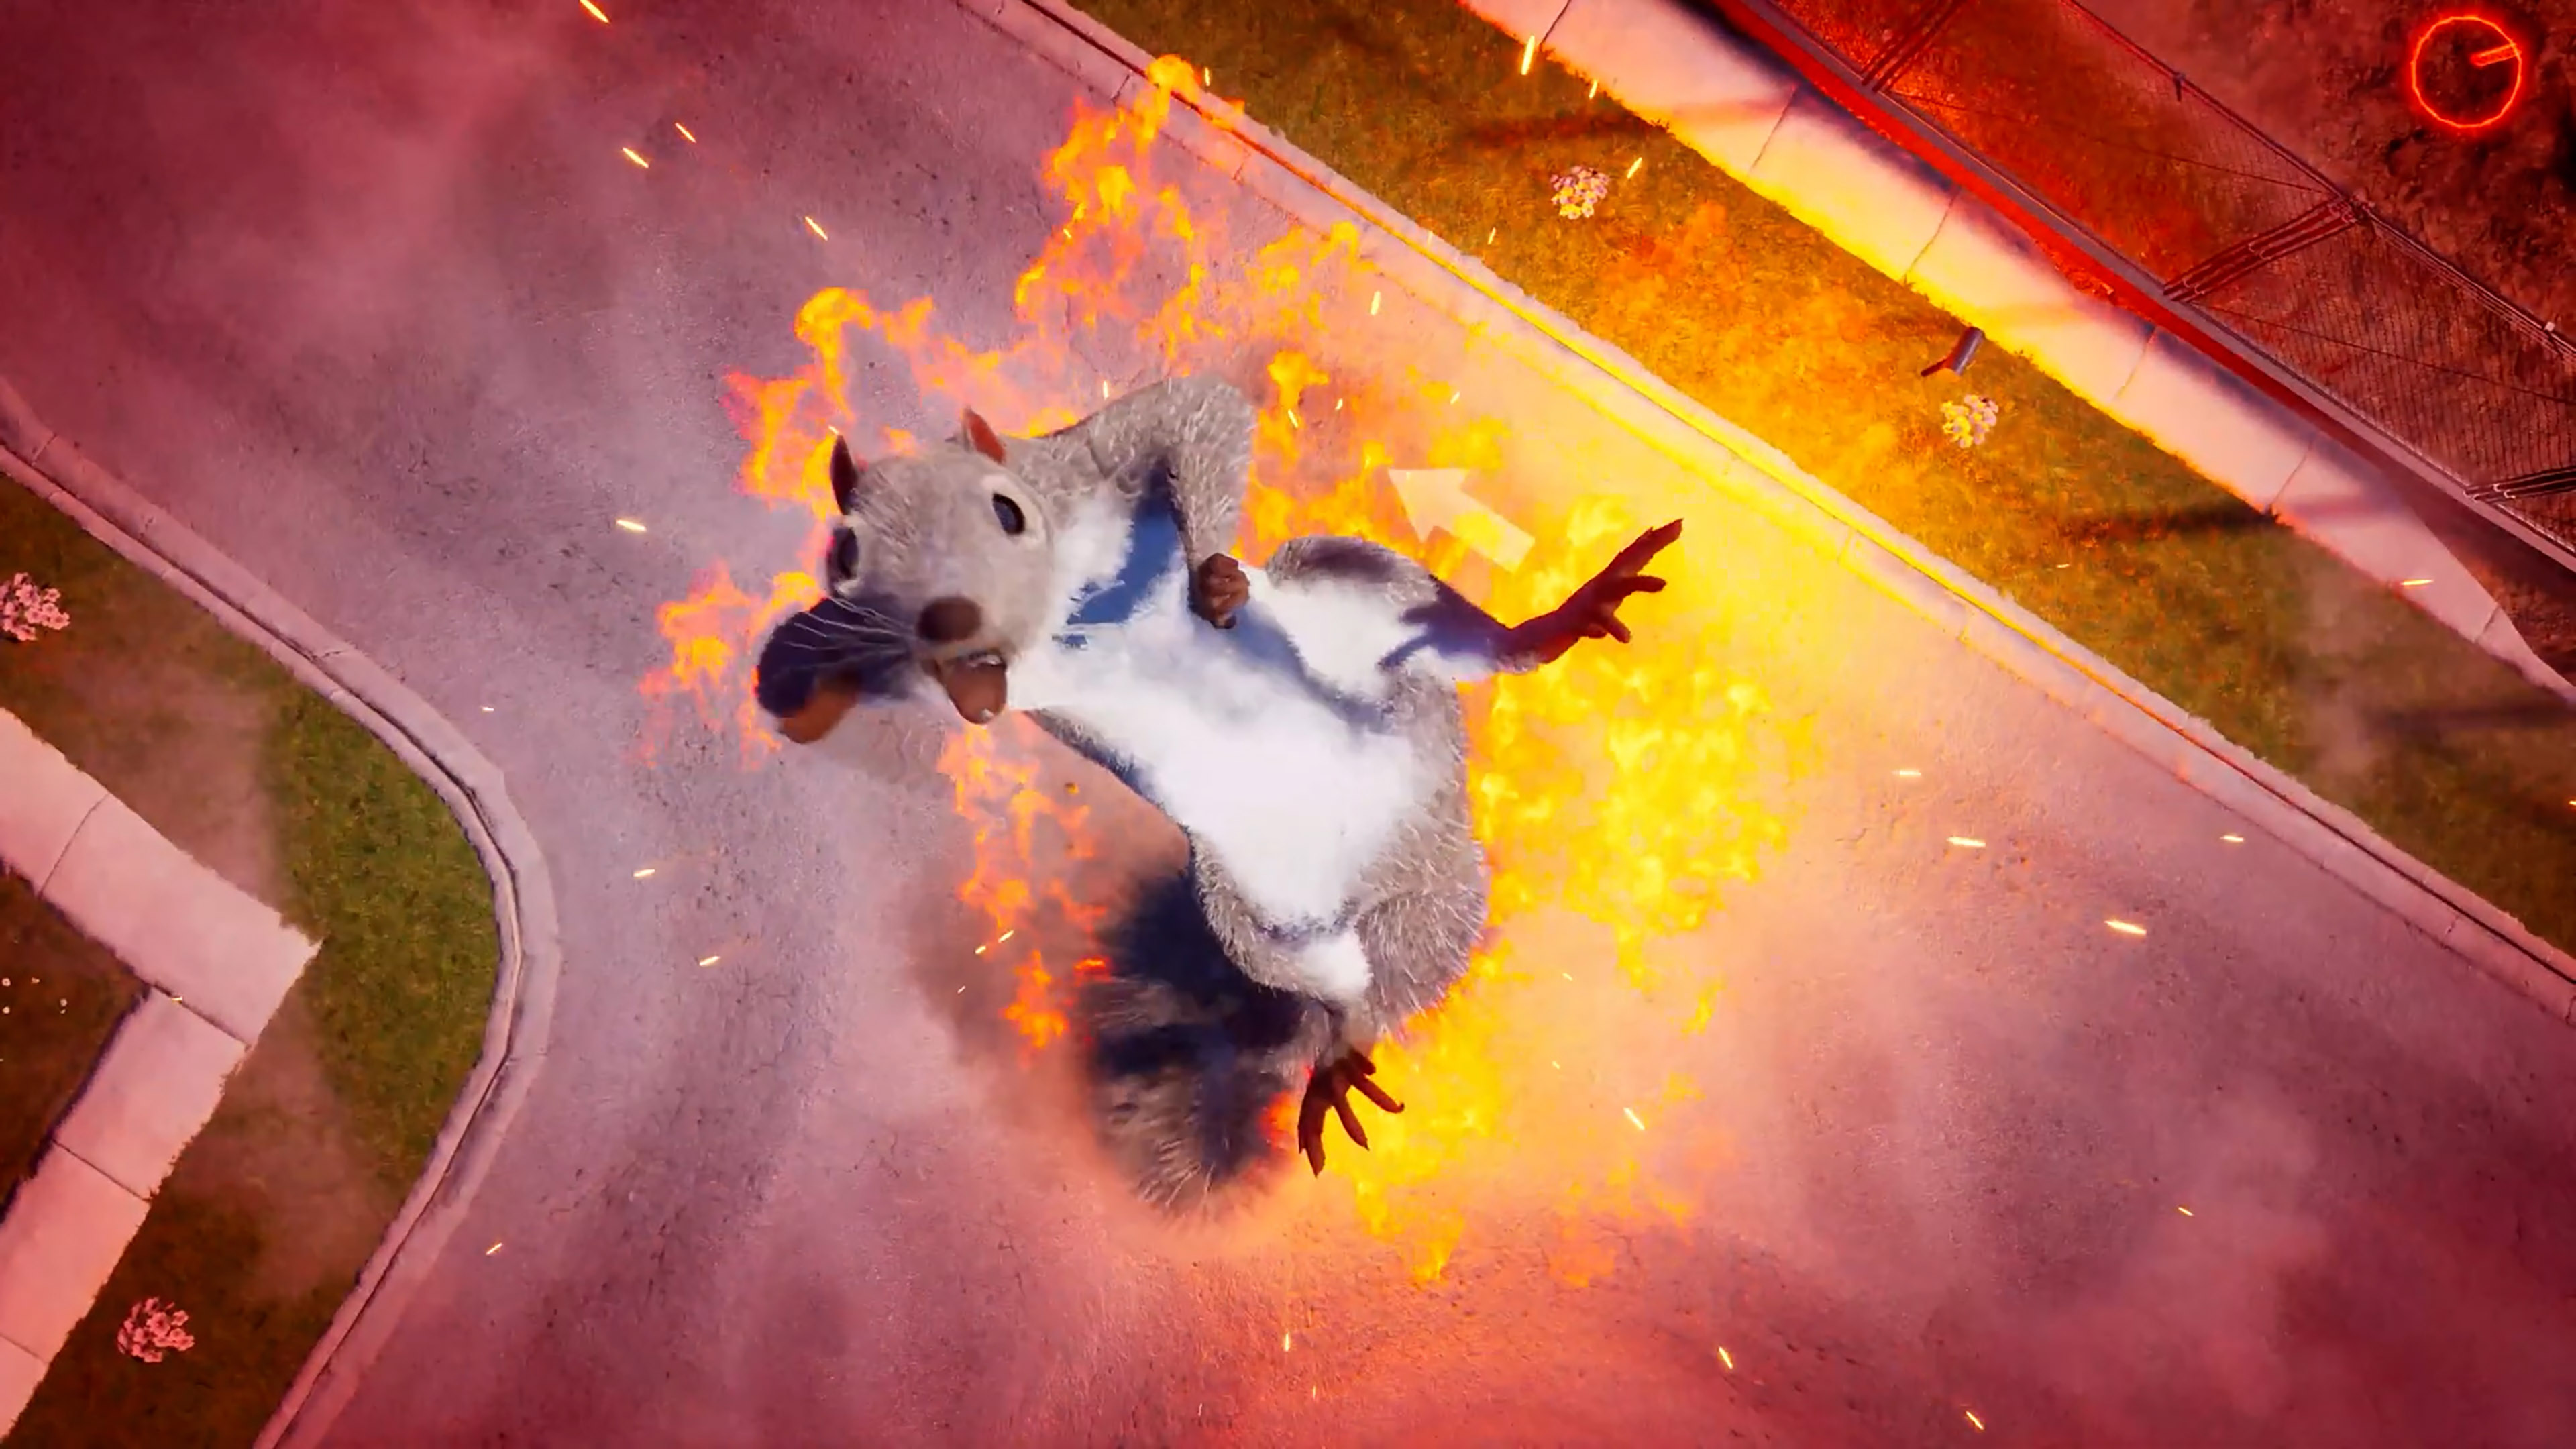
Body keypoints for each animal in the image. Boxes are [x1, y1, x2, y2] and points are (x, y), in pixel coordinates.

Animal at [752, 375, 1678, 1204]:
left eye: (1008, 509)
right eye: (847, 553)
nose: (952, 618)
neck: (1061, 618)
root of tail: (1438, 825)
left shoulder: (1088, 463)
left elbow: (1195, 413)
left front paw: (1213, 580)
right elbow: (809, 677)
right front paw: (942, 684)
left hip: (1363, 588)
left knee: (1470, 644)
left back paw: (1549, 628)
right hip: (1253, 917)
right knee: (1345, 989)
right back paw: (1339, 1048)